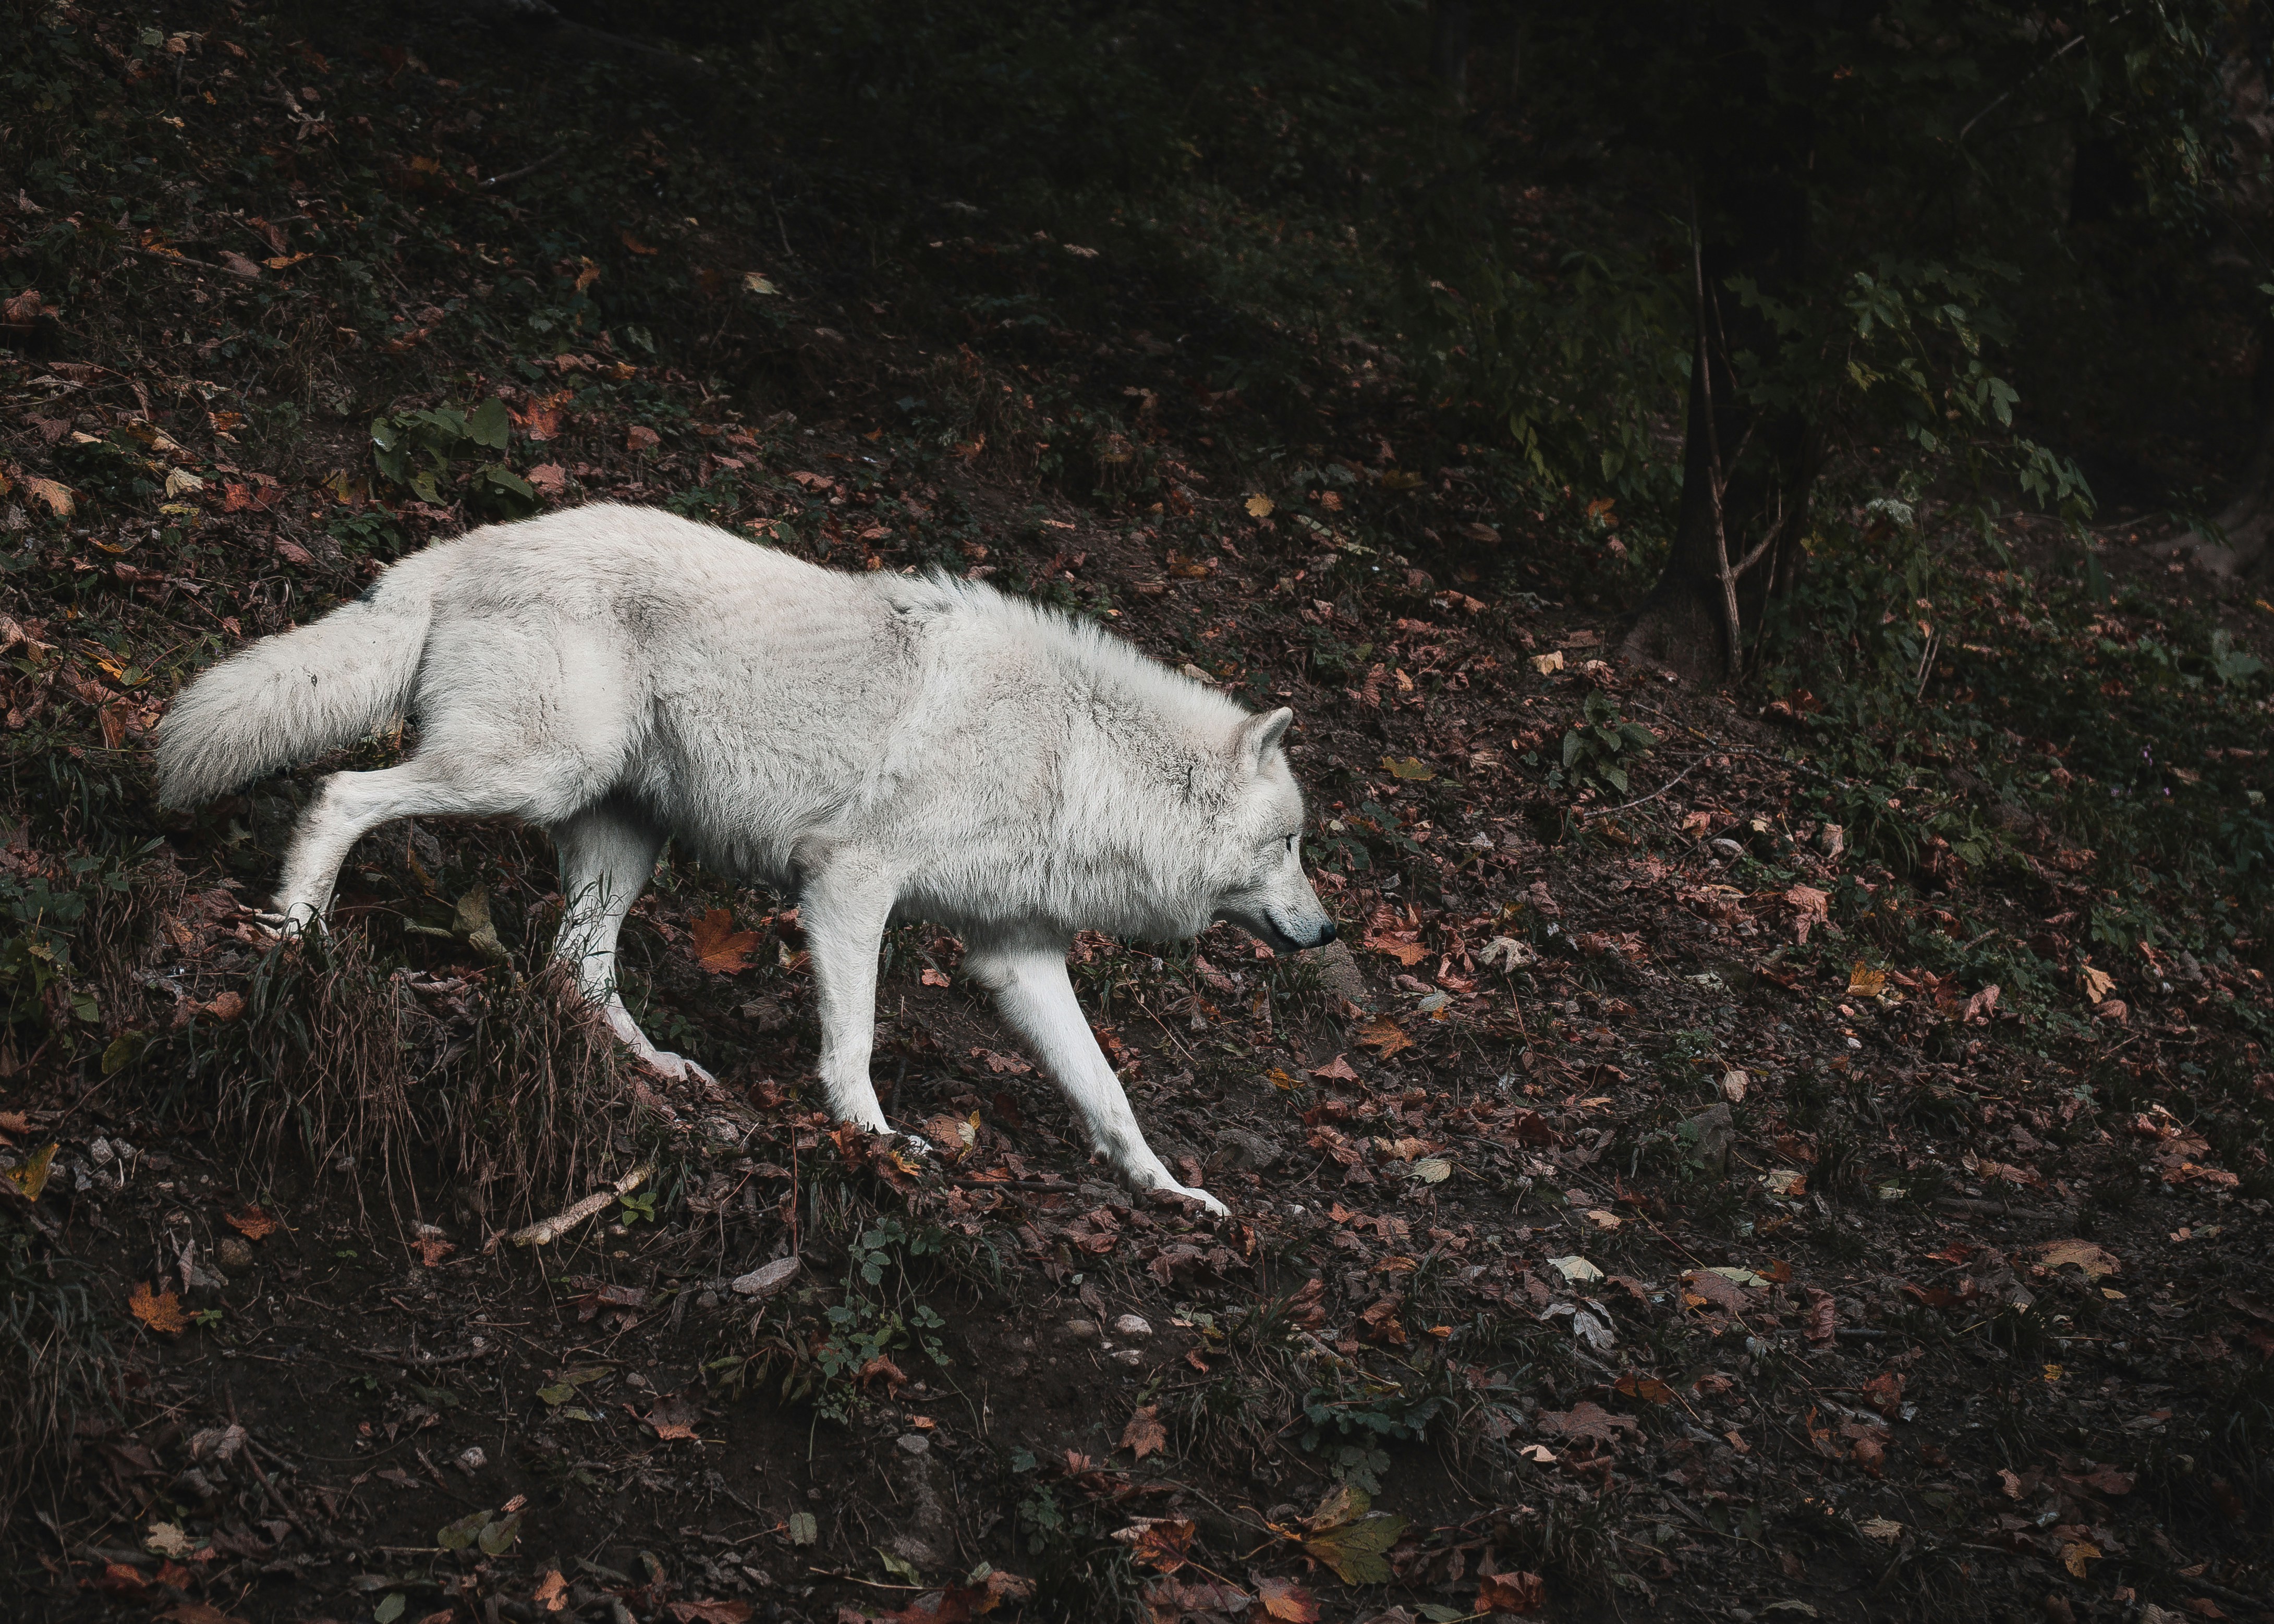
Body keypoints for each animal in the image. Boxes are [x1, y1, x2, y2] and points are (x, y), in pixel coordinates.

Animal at [156, 503, 1337, 1214]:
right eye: (1286, 844)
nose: (1325, 929)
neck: (1076, 756)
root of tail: (461, 547)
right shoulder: (850, 880)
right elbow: (854, 1038)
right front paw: (871, 1136)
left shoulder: (1017, 955)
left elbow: (1108, 1092)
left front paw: (1171, 1192)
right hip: (530, 776)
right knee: (343, 794)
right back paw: (297, 929)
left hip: (620, 837)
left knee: (575, 970)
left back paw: (660, 1069)